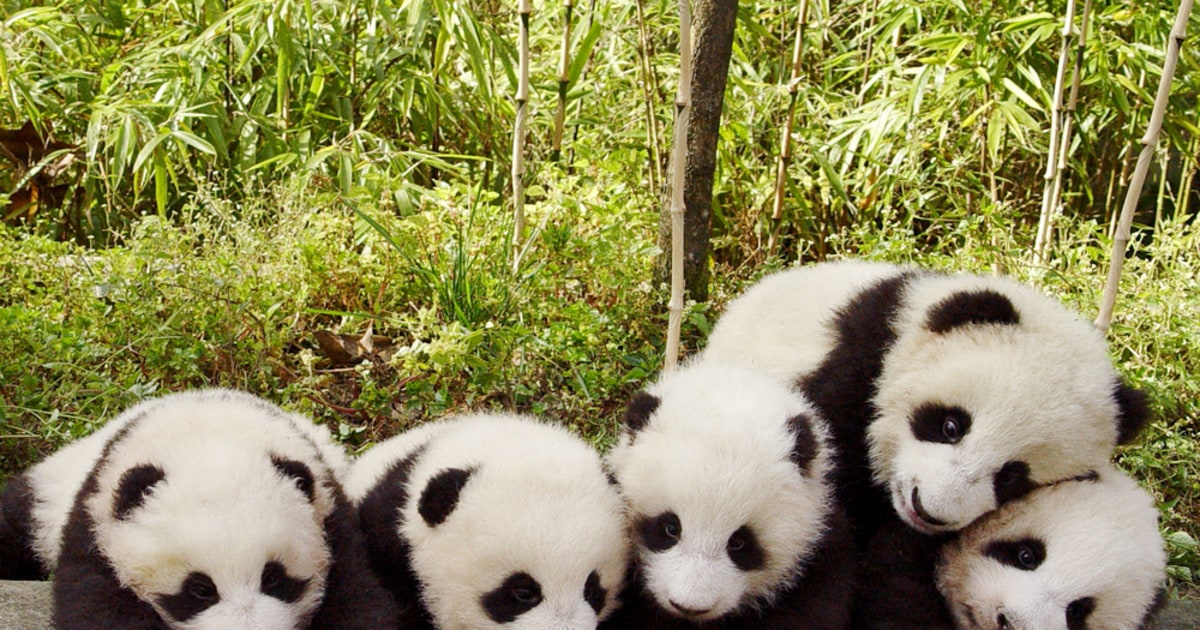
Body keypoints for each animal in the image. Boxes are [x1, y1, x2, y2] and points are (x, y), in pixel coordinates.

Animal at [1, 389, 397, 630]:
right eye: (200, 590)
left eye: (273, 578)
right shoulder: (94, 532)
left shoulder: (332, 520)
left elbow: (357, 599)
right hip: (47, 497)